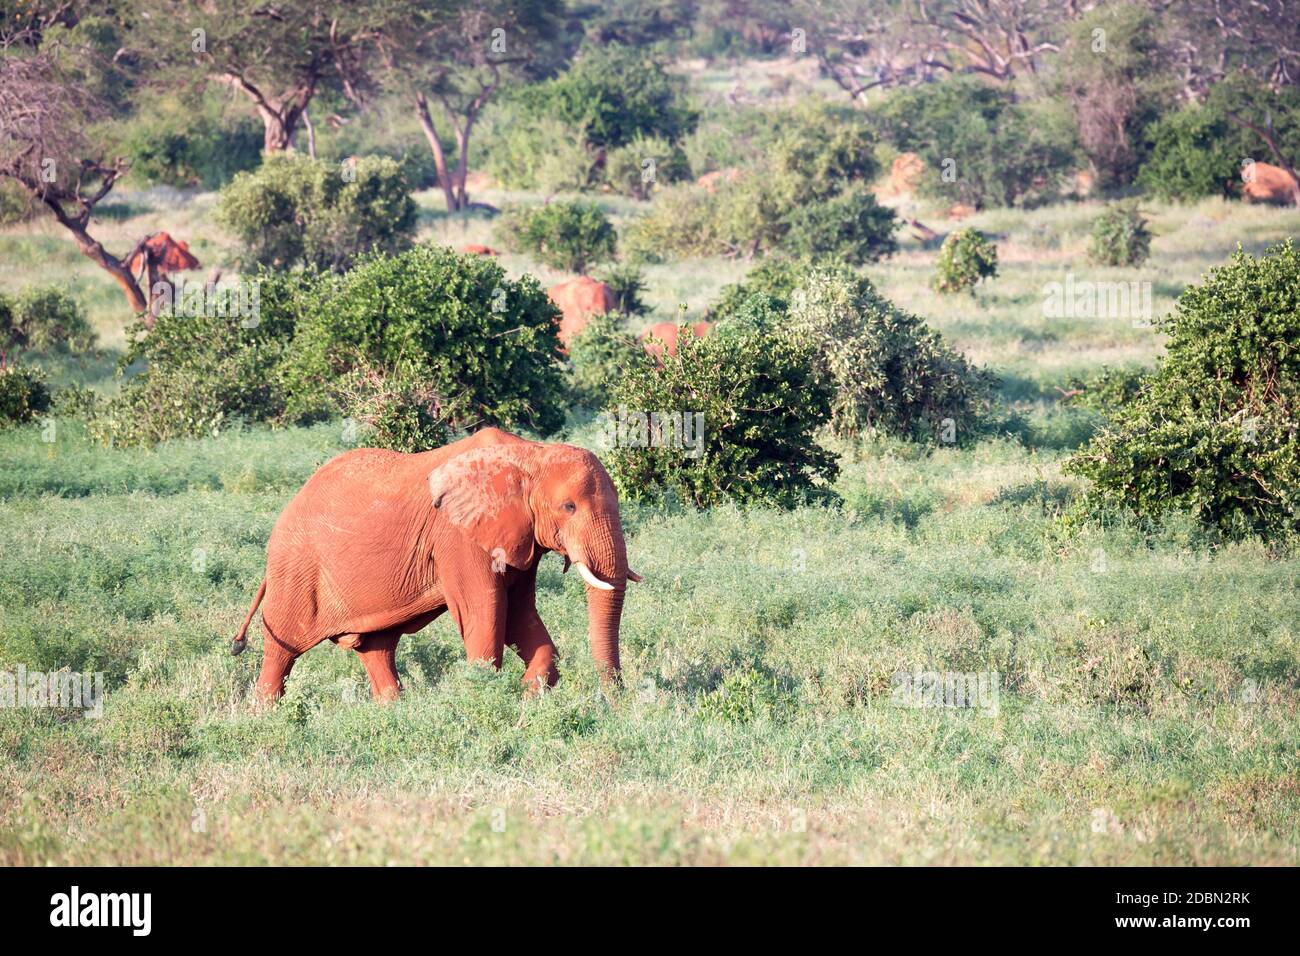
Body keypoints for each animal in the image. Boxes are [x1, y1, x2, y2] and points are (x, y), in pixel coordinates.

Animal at [230, 427, 640, 701]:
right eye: (568, 507)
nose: (615, 700)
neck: (530, 454)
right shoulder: (458, 536)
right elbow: (486, 609)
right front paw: (484, 698)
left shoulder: (519, 538)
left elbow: (520, 613)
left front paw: (527, 695)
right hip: (296, 568)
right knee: (282, 649)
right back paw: (265, 716)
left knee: (377, 648)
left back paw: (394, 711)